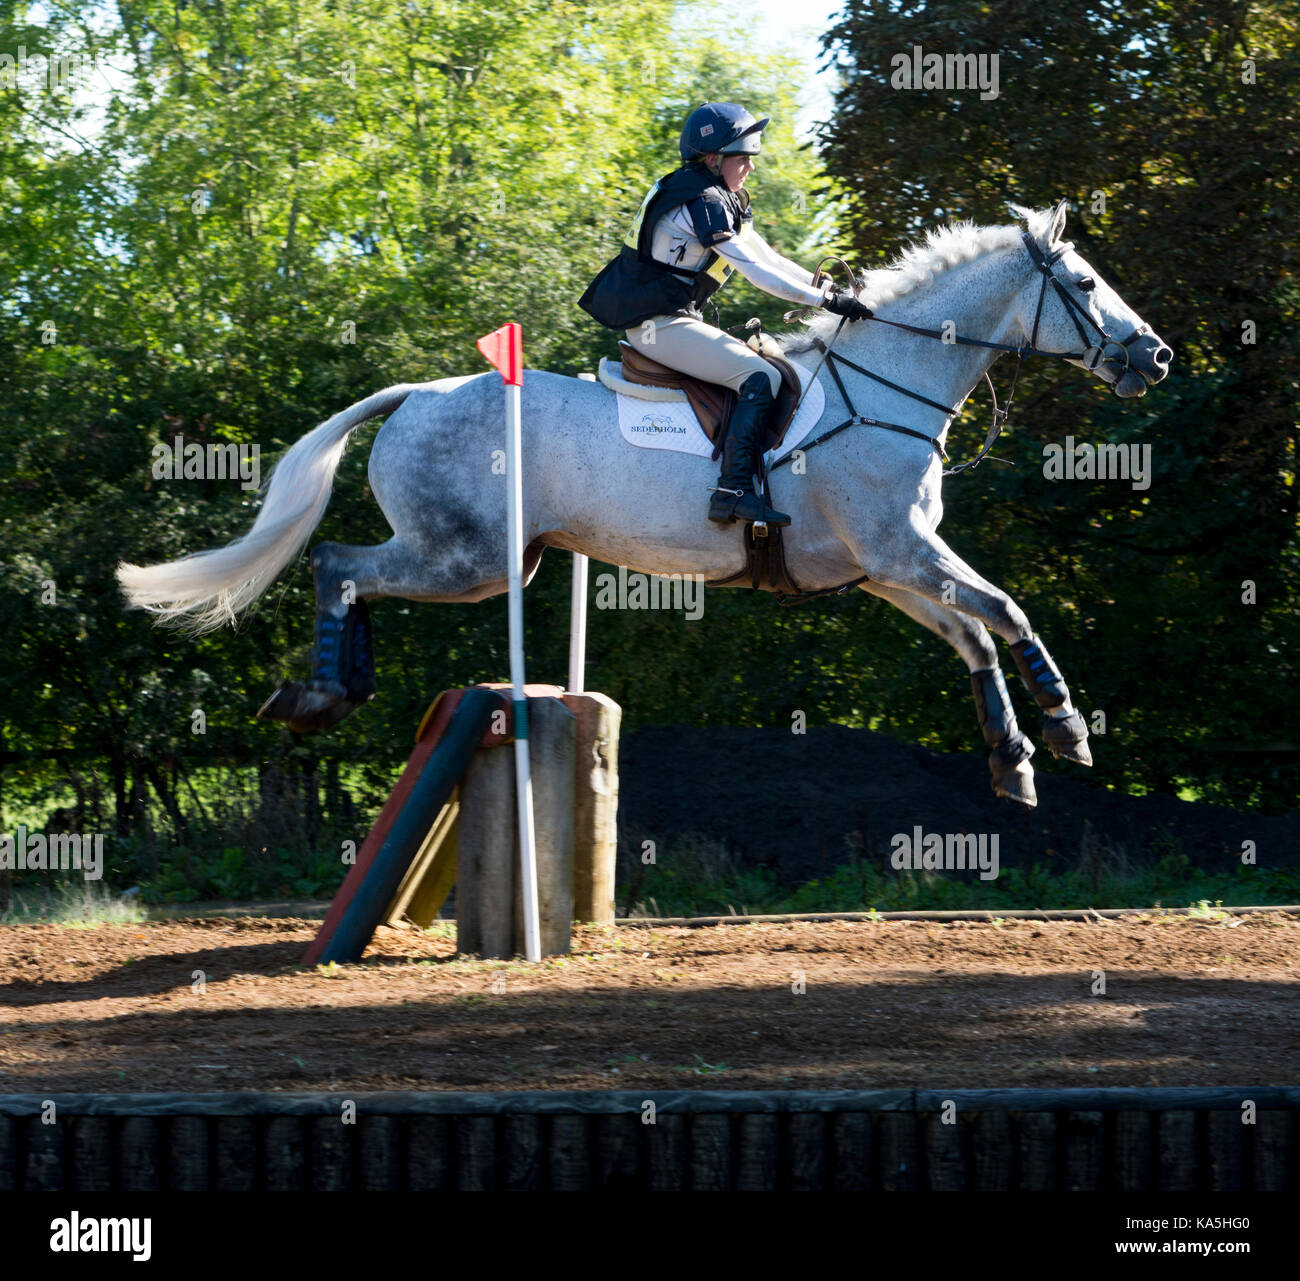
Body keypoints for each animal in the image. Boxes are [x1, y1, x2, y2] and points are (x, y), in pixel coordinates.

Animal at [117, 201, 1172, 808]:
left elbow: (973, 635)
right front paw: (1066, 727)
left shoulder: (883, 566)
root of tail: (415, 393)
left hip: (489, 558)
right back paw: (323, 692)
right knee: (340, 564)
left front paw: (1014, 760)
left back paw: (330, 688)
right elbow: (1009, 611)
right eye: (1084, 283)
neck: (891, 380)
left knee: (350, 573)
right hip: (467, 558)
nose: (1155, 356)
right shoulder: (903, 553)